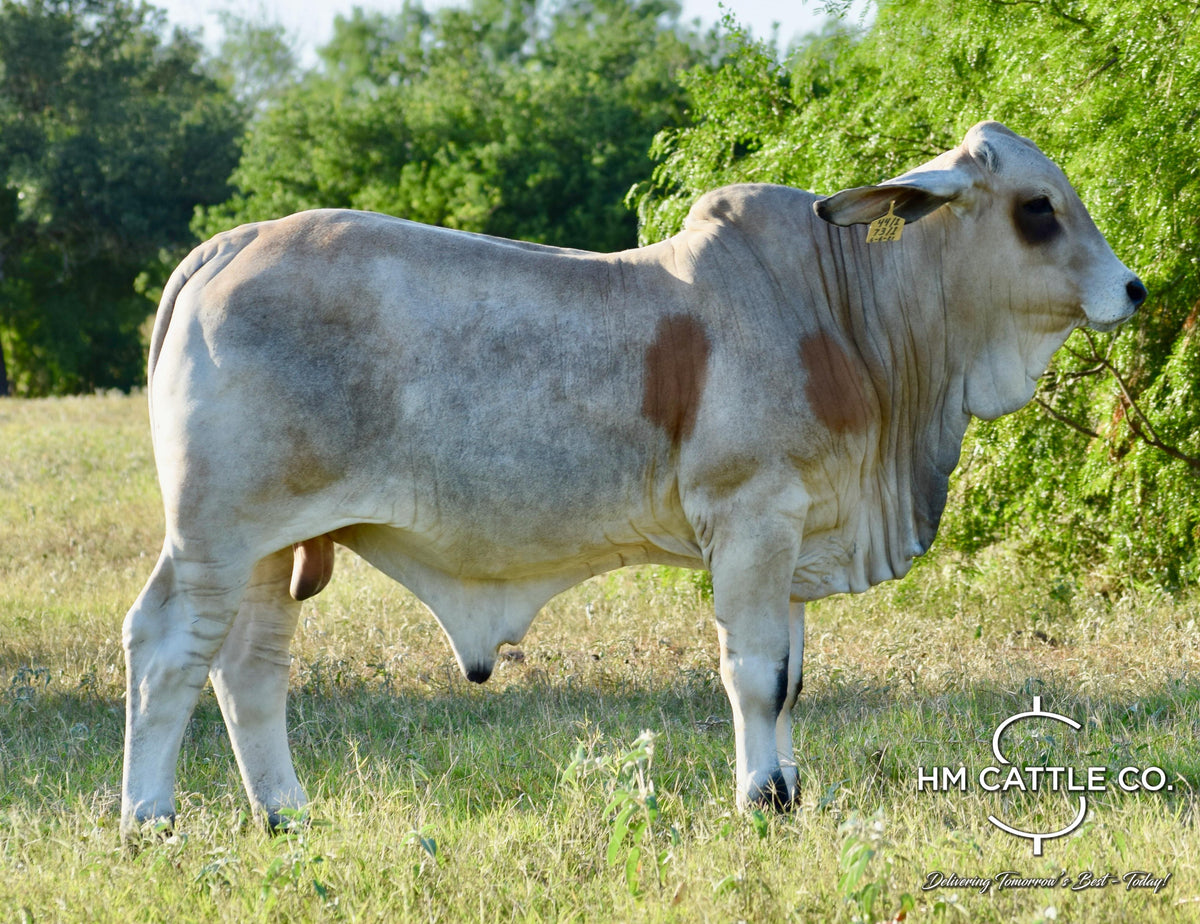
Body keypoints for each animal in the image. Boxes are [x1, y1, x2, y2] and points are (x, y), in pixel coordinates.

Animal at [120, 121, 1145, 842]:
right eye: (1037, 208)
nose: (1133, 288)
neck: (849, 311)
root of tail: (225, 247)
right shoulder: (750, 521)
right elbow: (755, 675)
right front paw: (759, 797)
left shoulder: (793, 535)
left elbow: (792, 681)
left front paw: (790, 790)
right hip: (214, 536)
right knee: (168, 650)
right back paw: (149, 819)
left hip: (272, 545)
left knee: (249, 669)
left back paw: (284, 814)